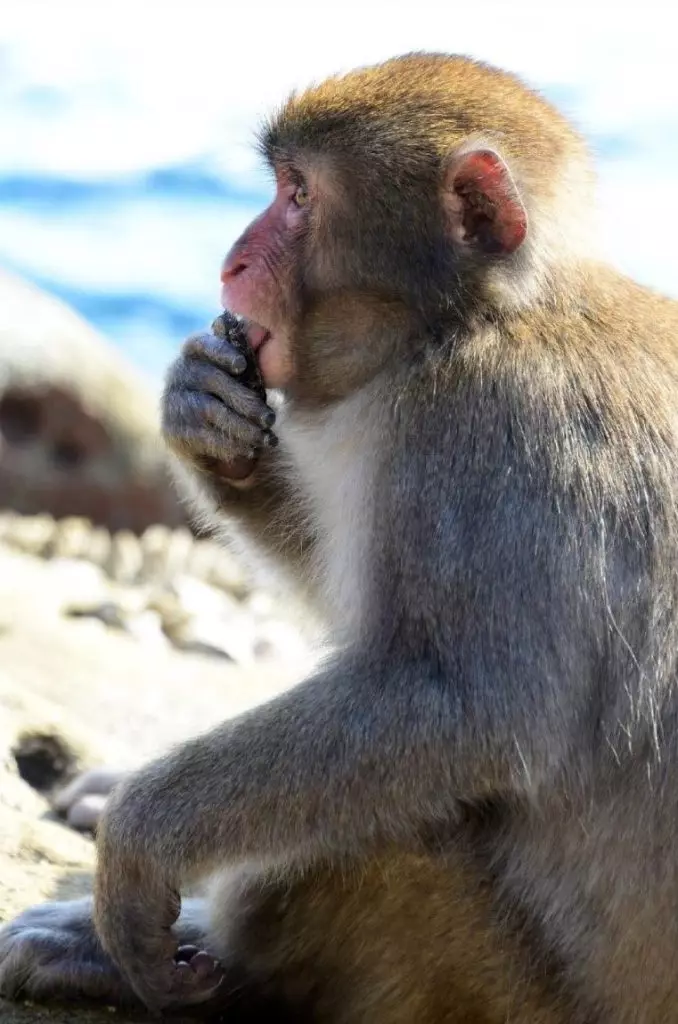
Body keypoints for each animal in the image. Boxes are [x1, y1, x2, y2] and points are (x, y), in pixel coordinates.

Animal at [1, 54, 678, 1024]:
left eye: (296, 195)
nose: (232, 260)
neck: (474, 319)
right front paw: (206, 421)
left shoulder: (485, 436)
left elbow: (466, 709)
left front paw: (139, 840)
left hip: (490, 978)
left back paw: (168, 953)